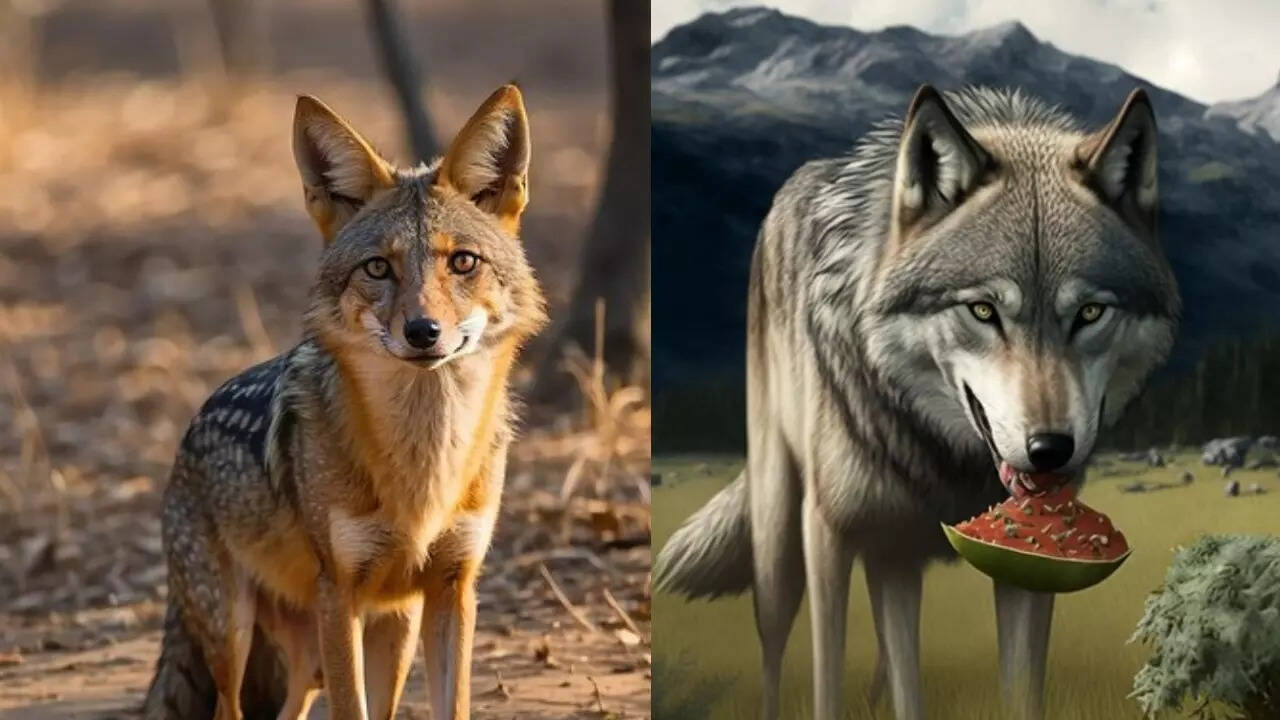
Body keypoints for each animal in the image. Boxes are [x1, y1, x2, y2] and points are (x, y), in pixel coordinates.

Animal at [143, 85, 546, 720]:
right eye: (378, 268)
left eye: (462, 261)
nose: (423, 332)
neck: (423, 471)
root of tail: (187, 437)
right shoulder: (340, 593)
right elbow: (350, 708)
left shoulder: (453, 587)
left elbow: (449, 705)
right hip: (236, 634)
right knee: (230, 708)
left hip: (374, 636)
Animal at [654, 85, 1178, 720]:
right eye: (983, 310)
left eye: (1090, 313)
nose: (1050, 450)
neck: (943, 458)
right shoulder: (837, 539)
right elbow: (829, 682)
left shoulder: (1021, 570)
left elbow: (1017, 691)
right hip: (783, 546)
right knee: (777, 651)